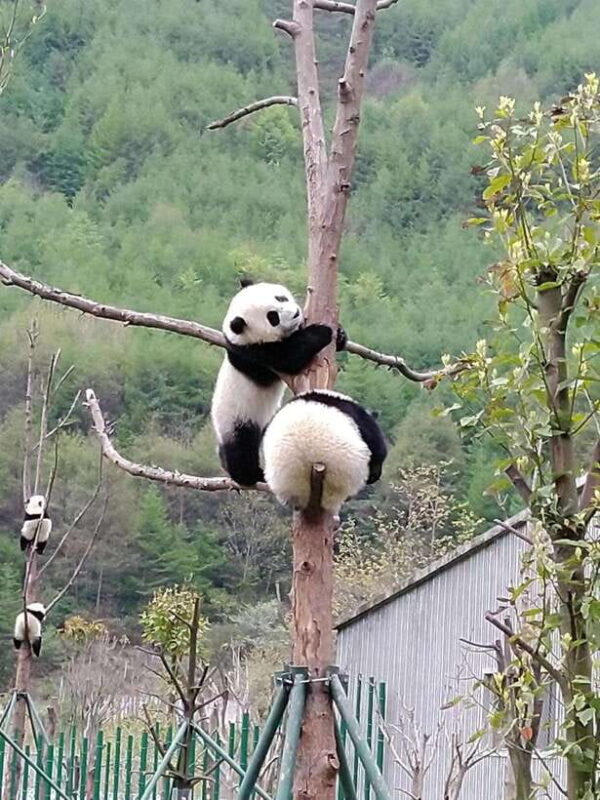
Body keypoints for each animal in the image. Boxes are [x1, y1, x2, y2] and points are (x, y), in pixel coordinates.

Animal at [211, 280, 346, 487]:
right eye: (272, 317)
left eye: (280, 298)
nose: (295, 313)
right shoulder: (254, 356)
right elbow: (291, 357)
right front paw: (323, 332)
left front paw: (340, 335)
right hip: (236, 419)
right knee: (241, 448)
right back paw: (250, 475)